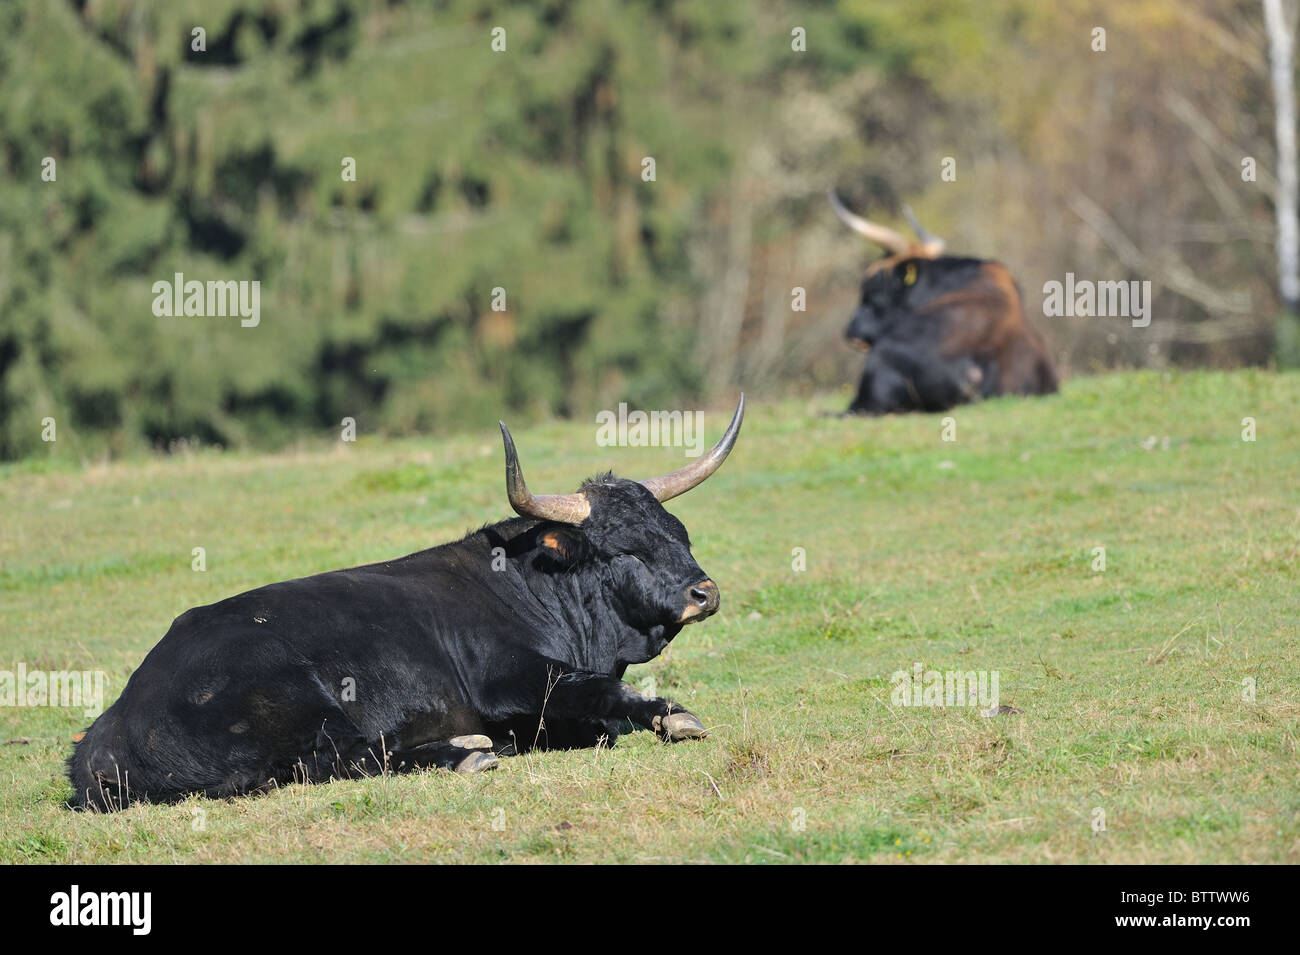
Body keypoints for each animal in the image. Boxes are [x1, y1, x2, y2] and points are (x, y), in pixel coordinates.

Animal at [67, 397, 744, 811]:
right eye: (623, 548)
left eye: (677, 532)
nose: (704, 592)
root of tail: (110, 731)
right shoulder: (513, 680)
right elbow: (602, 699)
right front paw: (671, 715)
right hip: (301, 700)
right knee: (346, 758)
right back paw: (466, 753)